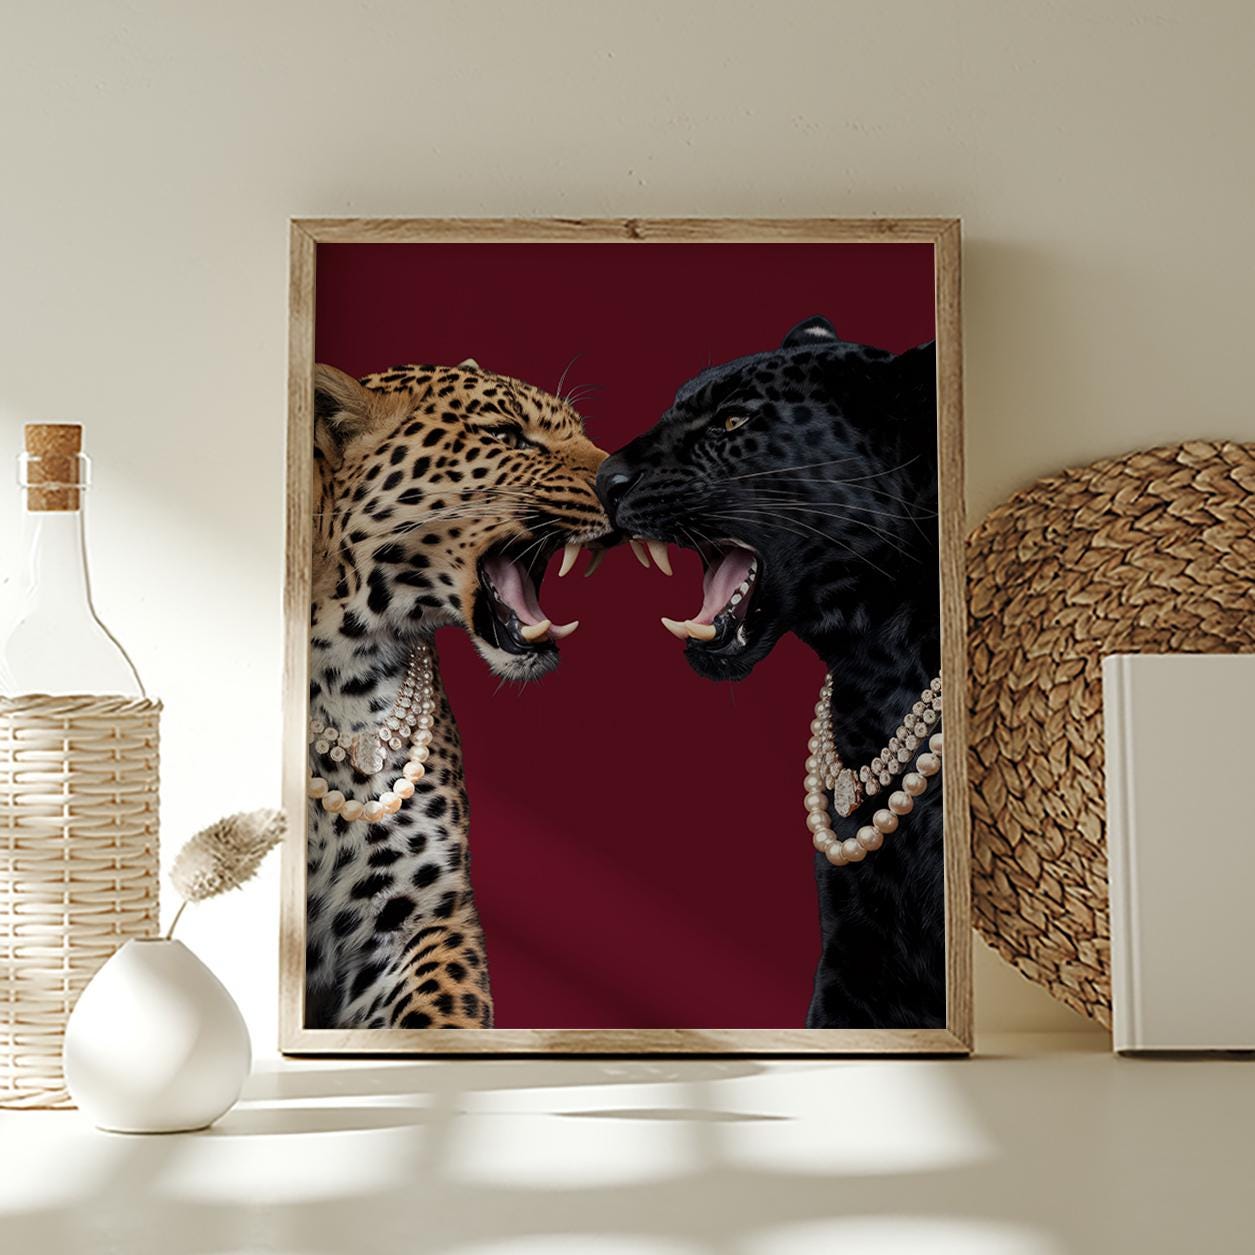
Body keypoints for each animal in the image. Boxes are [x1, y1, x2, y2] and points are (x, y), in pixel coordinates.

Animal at [305, 358, 609, 1030]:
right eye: (507, 437)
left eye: (579, 429)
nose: (629, 477)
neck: (339, 677)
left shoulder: (419, 914)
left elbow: (440, 1015)